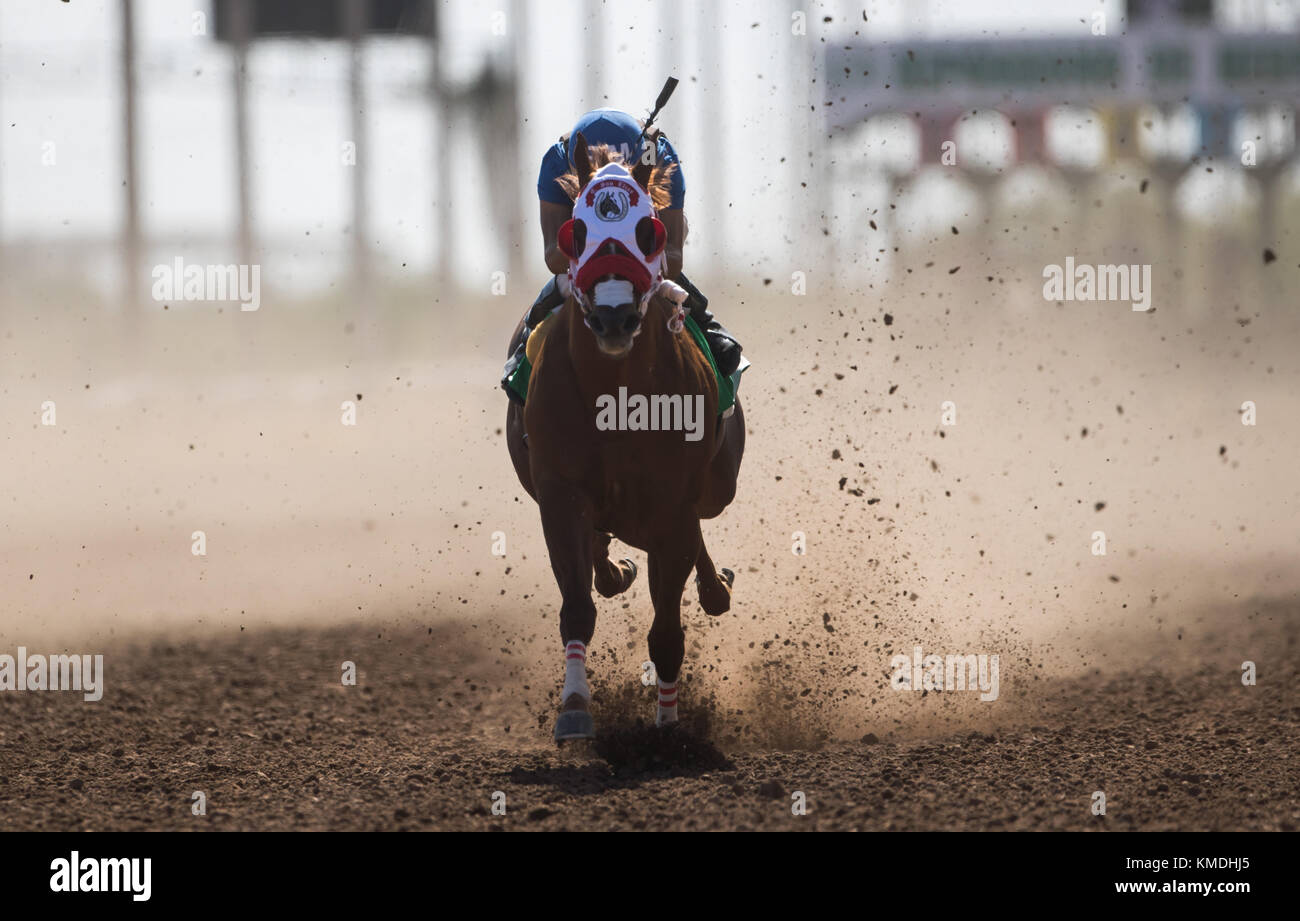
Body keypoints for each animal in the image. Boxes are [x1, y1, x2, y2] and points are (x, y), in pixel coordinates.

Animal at [505, 134, 745, 742]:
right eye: (577, 230)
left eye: (649, 229)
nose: (613, 317)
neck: (616, 398)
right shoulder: (559, 490)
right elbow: (576, 606)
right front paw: (574, 709)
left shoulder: (672, 499)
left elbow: (667, 628)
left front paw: (668, 724)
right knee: (604, 550)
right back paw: (618, 567)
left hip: (717, 487)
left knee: (699, 527)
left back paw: (713, 588)